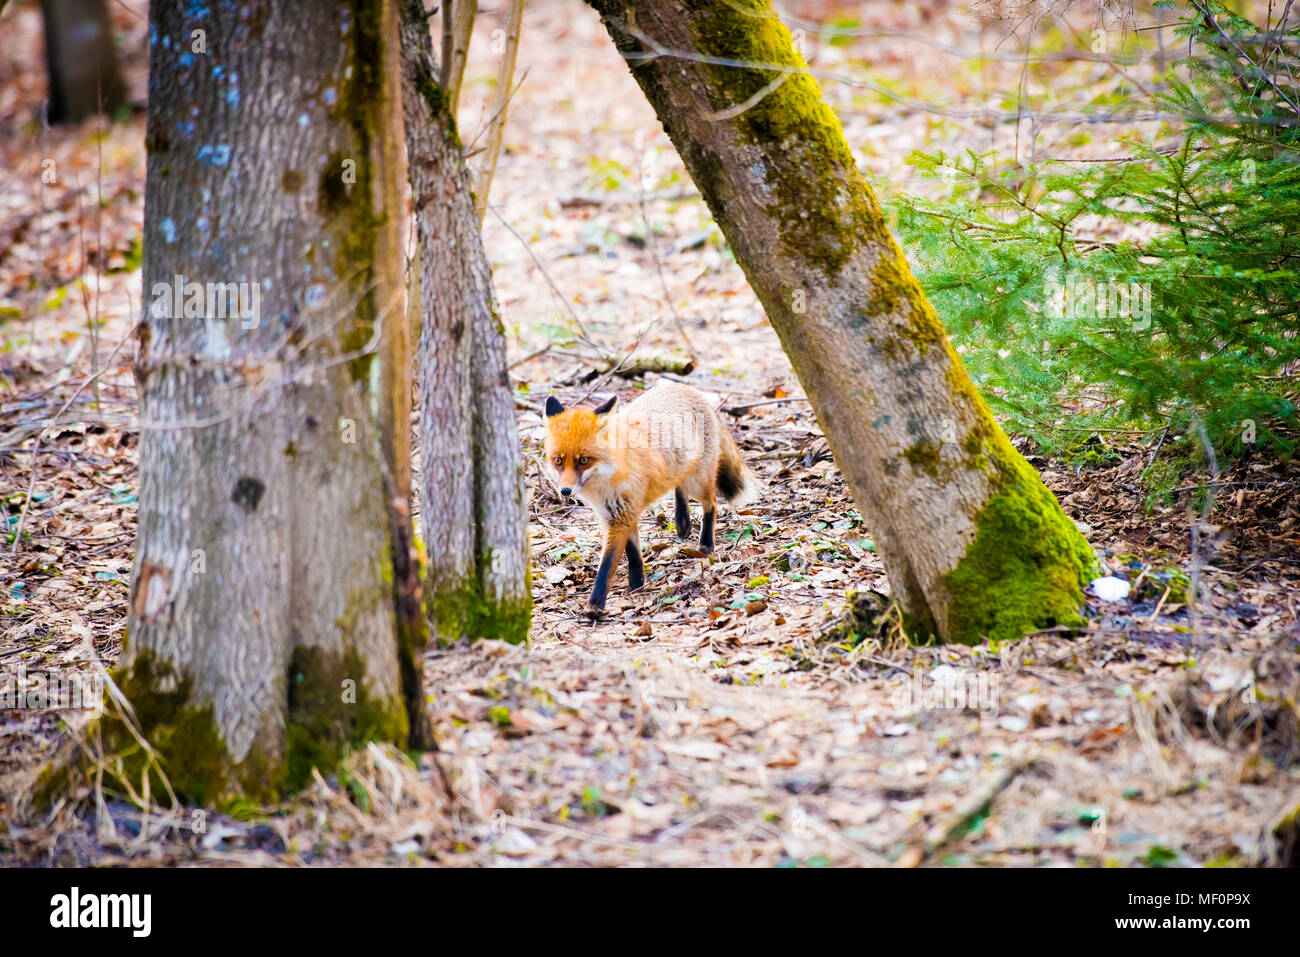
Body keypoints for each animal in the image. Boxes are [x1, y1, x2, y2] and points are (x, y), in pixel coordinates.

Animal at [543, 380, 761, 617]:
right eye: (557, 461)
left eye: (583, 460)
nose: (565, 491)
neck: (610, 474)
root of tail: (688, 388)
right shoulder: (617, 515)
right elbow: (633, 555)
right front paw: (636, 584)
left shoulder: (621, 516)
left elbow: (607, 566)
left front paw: (595, 605)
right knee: (679, 487)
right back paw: (682, 523)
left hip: (698, 482)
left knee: (710, 504)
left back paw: (705, 543)